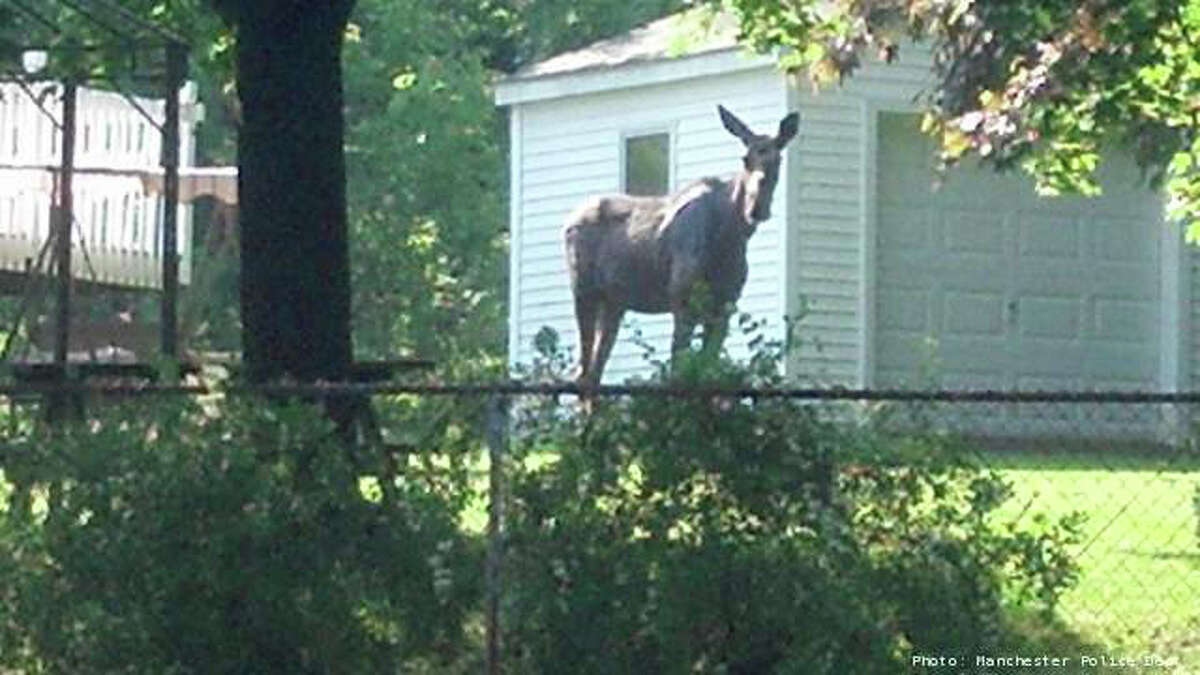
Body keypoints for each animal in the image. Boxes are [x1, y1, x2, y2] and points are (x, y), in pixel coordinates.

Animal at [563, 105, 799, 393]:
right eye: (745, 158)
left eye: (778, 159)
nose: (757, 209)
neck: (728, 238)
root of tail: (568, 221)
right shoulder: (681, 298)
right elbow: (678, 371)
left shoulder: (724, 306)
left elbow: (709, 374)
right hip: (584, 292)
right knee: (582, 373)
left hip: (614, 303)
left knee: (594, 373)